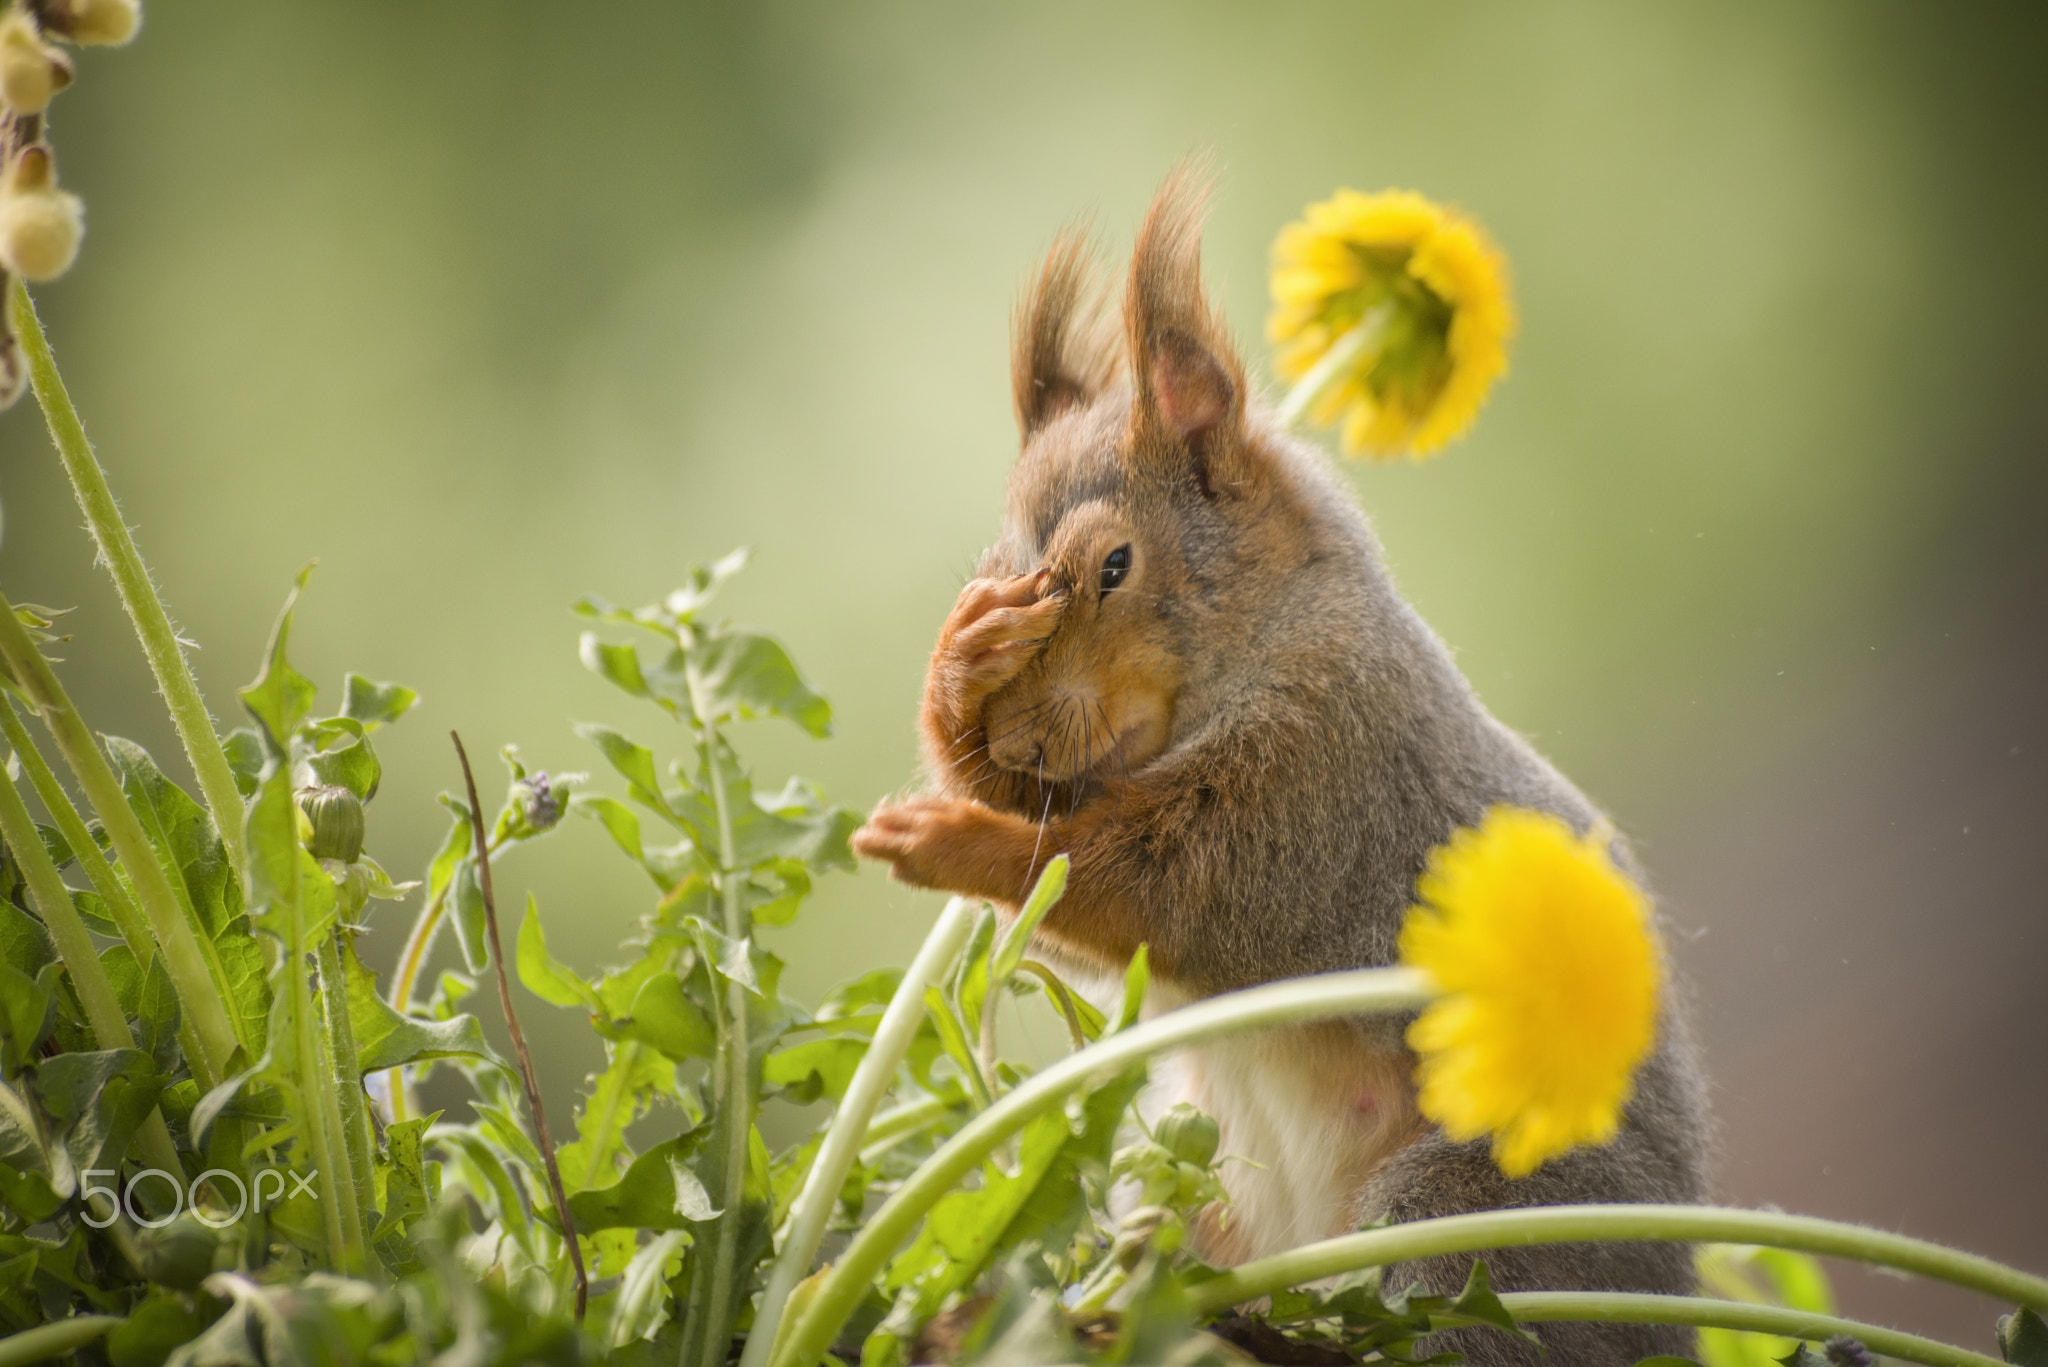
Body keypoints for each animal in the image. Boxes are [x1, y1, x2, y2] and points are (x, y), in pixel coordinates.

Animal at [850, 172, 1712, 1367]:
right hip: (1197, 1195)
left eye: (1113, 565)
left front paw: (940, 836)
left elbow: (1152, 888)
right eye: (994, 568)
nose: (1017, 738)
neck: (1273, 629)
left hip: (1468, 1222)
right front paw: (959, 677)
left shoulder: (1318, 772)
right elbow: (1068, 876)